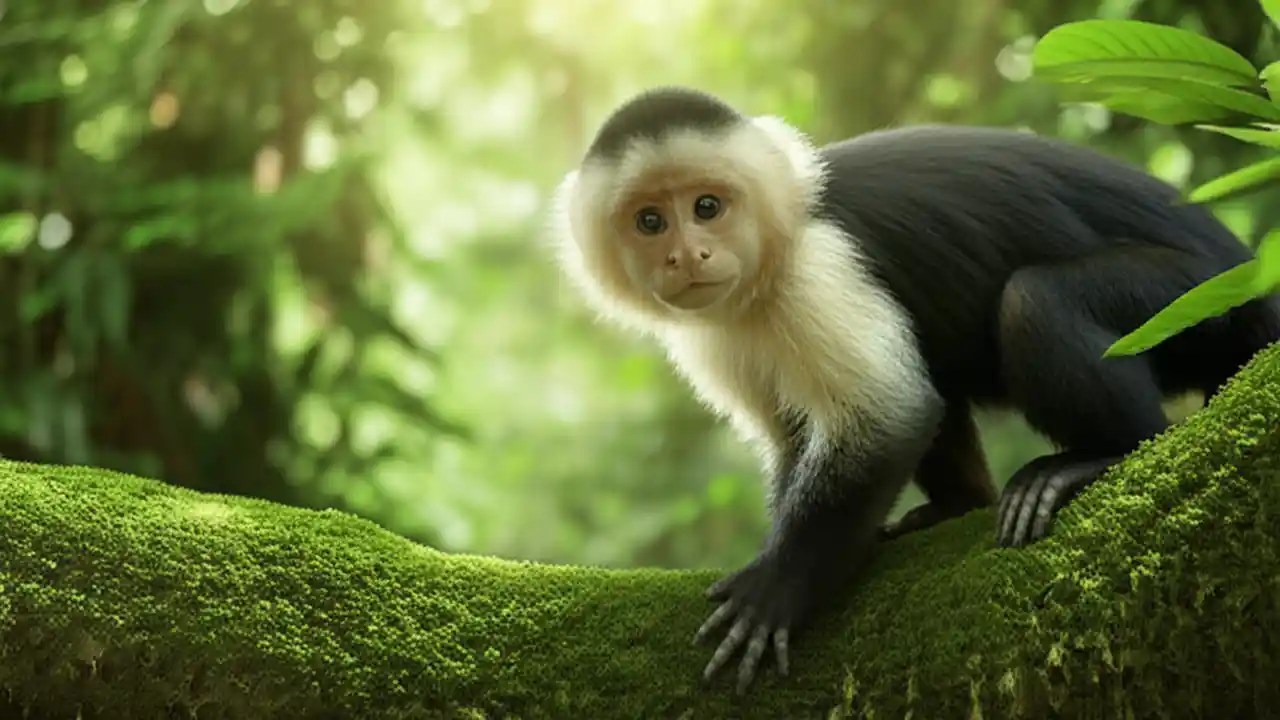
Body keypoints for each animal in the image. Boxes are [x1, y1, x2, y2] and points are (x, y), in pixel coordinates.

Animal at [547, 86, 1280, 694]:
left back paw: (1100, 457)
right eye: (650, 222)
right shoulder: (716, 329)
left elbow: (890, 417)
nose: (687, 256)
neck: (778, 249)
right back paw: (961, 504)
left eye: (707, 207)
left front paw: (779, 585)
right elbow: (804, 436)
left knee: (1035, 302)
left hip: (1196, 295)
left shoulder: (821, 267)